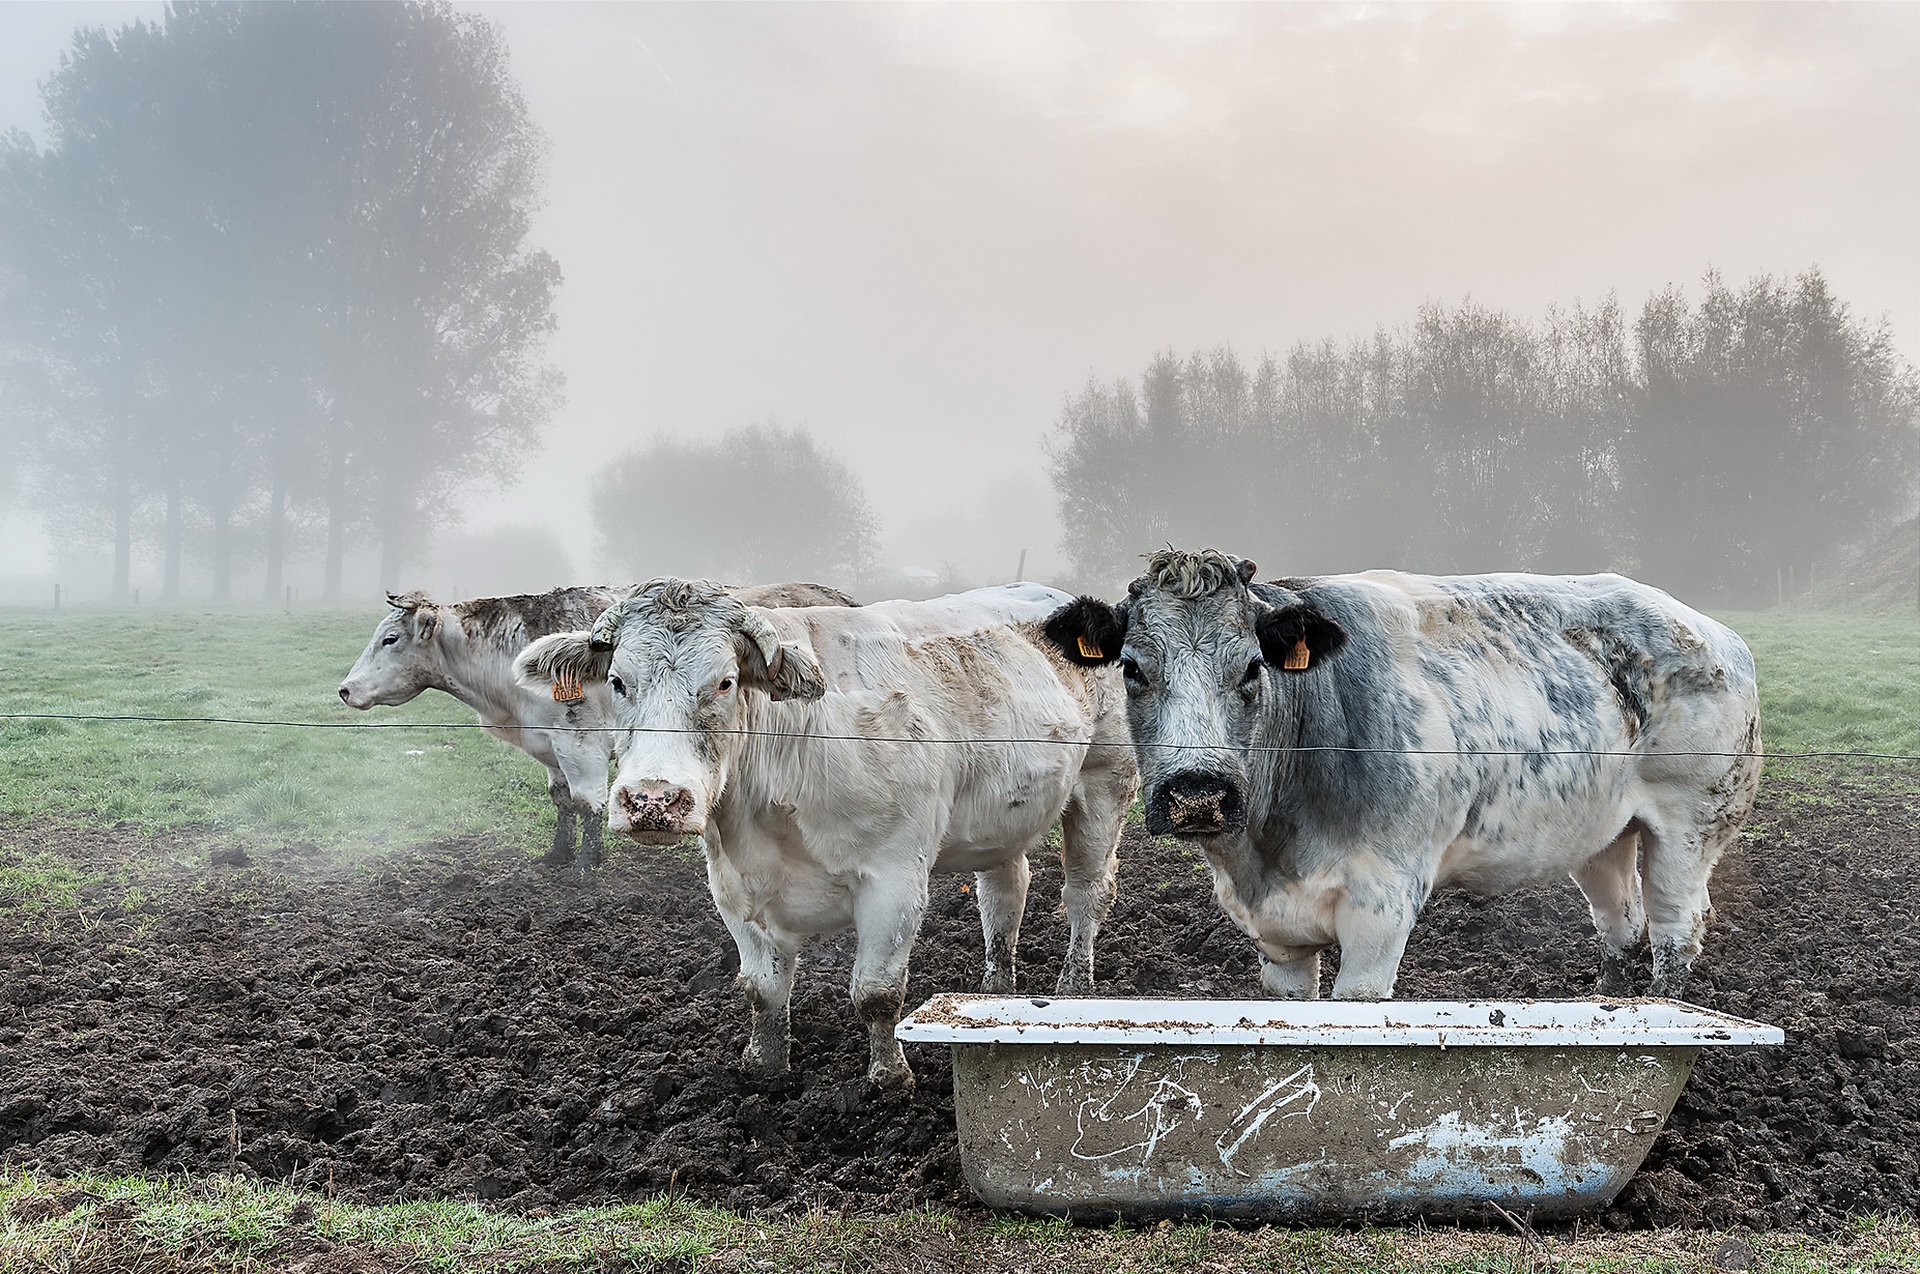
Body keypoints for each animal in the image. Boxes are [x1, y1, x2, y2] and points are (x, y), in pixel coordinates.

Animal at [338, 582, 857, 877]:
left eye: (390, 638)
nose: (345, 690)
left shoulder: (581, 743)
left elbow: (588, 803)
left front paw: (586, 866)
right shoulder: (553, 748)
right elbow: (562, 801)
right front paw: (557, 855)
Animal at [512, 578, 1138, 1087]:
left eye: (725, 682)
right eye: (618, 681)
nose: (653, 799)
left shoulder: (895, 879)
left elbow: (877, 993)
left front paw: (889, 1079)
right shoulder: (733, 887)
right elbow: (762, 990)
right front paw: (763, 1066)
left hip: (1105, 783)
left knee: (1085, 894)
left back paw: (1073, 993)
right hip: (1000, 820)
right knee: (1005, 892)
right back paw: (995, 992)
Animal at [1041, 547, 1761, 1004]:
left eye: (1251, 667)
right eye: (1133, 667)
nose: (1198, 794)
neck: (1270, 850)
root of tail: (1712, 630)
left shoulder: (1380, 909)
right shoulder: (1277, 938)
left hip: (1691, 827)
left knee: (1675, 931)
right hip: (1602, 834)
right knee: (1620, 925)